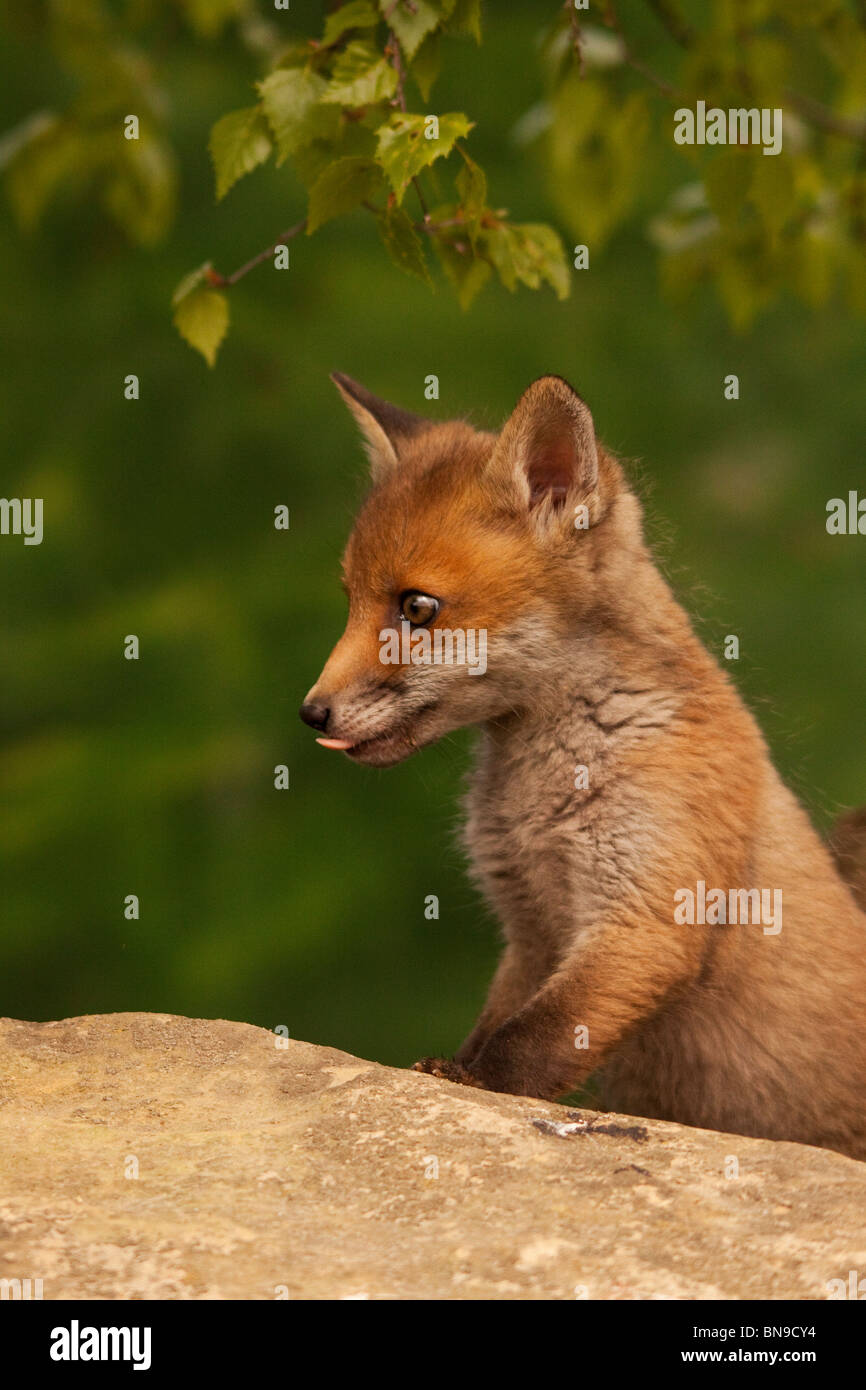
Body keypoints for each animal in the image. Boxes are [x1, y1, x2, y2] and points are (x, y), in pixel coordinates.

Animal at [301, 371, 866, 1161]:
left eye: (417, 607)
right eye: (350, 600)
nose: (311, 713)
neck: (538, 799)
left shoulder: (646, 916)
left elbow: (525, 1046)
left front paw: (469, 1082)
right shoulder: (531, 929)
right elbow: (500, 1021)